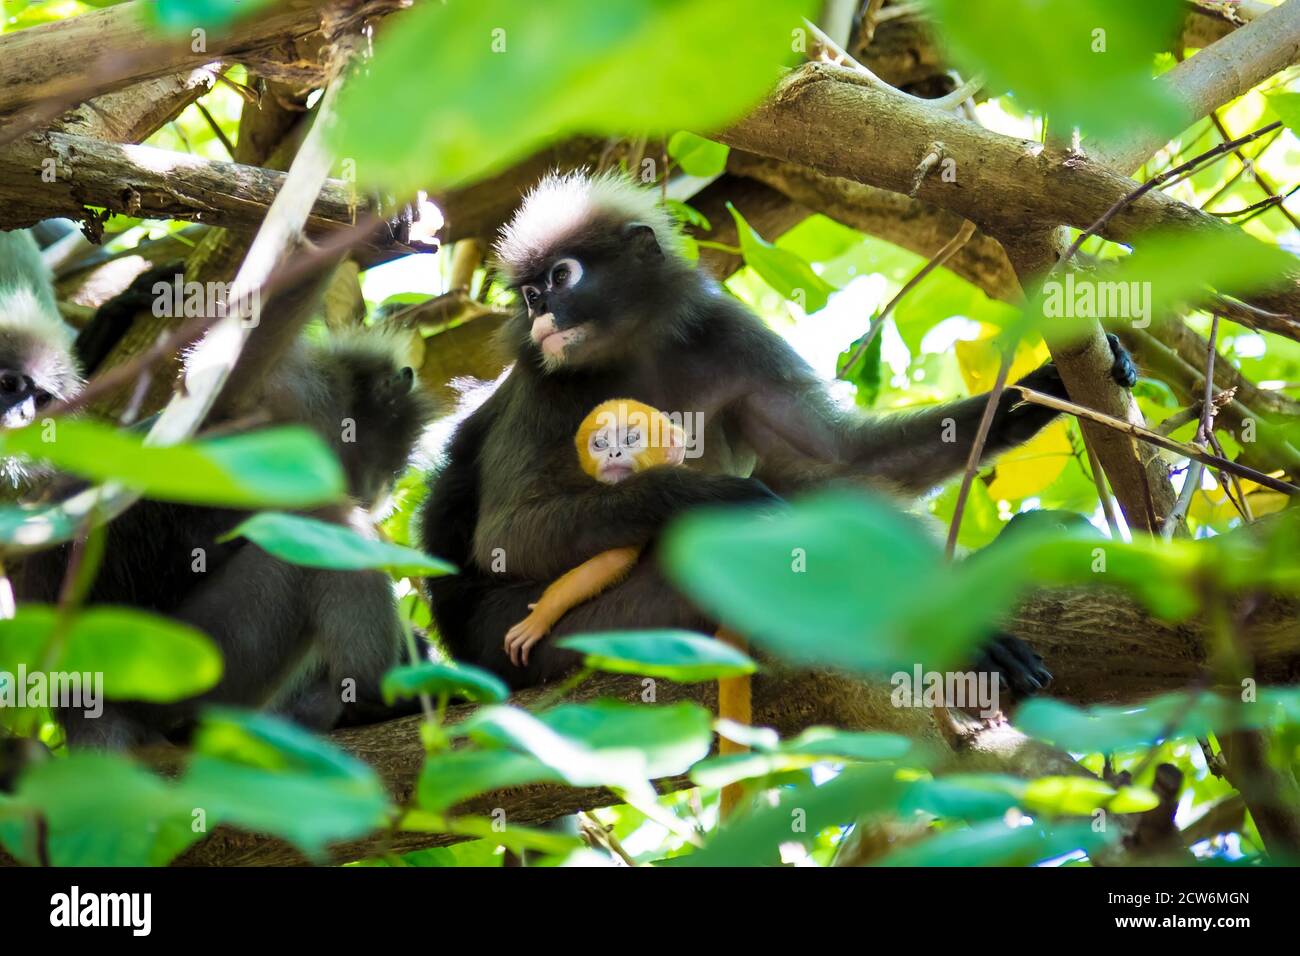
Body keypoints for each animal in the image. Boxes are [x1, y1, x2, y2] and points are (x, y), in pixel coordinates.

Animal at [13, 327, 437, 749]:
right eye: (389, 473)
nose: (381, 492)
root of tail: (80, 696)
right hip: (185, 661)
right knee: (324, 520)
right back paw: (372, 694)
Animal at [419, 169, 1137, 694]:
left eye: (559, 278)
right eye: (529, 295)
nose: (540, 316)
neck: (634, 351)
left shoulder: (730, 337)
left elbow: (844, 457)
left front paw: (1046, 390)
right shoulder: (543, 383)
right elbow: (507, 535)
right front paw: (728, 498)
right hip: (559, 630)